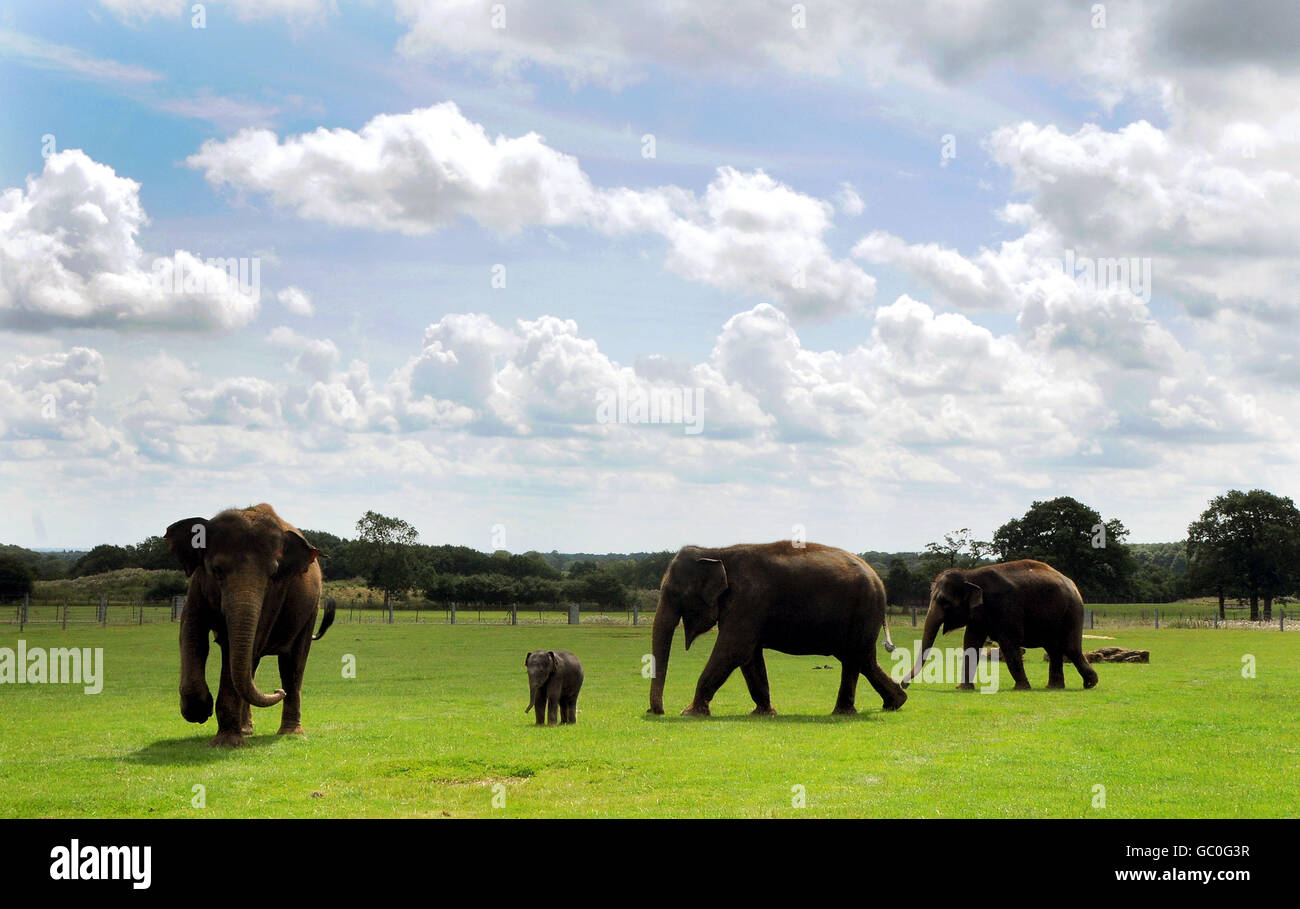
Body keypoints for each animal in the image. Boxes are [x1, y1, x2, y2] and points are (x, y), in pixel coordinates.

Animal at [165, 504, 335, 746]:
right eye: (217, 571)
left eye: (273, 573)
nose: (277, 691)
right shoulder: (197, 583)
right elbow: (192, 632)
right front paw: (199, 712)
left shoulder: (273, 597)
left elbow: (238, 650)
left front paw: (226, 742)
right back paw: (246, 729)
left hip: (310, 611)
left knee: (292, 664)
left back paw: (290, 733)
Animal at [647, 542, 906, 717]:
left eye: (674, 593)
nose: (656, 711)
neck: (716, 552)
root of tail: (878, 579)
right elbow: (749, 657)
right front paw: (763, 713)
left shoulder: (748, 602)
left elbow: (734, 650)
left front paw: (688, 713)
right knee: (862, 660)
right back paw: (894, 702)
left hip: (863, 612)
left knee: (856, 658)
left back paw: (848, 711)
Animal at [900, 559, 1099, 691]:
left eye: (945, 602)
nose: (903, 684)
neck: (969, 575)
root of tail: (1073, 585)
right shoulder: (978, 614)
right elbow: (971, 643)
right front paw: (963, 688)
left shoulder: (1006, 607)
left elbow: (1009, 643)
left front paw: (1021, 688)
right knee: (1054, 649)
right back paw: (1054, 687)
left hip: (1073, 611)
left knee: (1070, 647)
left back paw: (1090, 683)